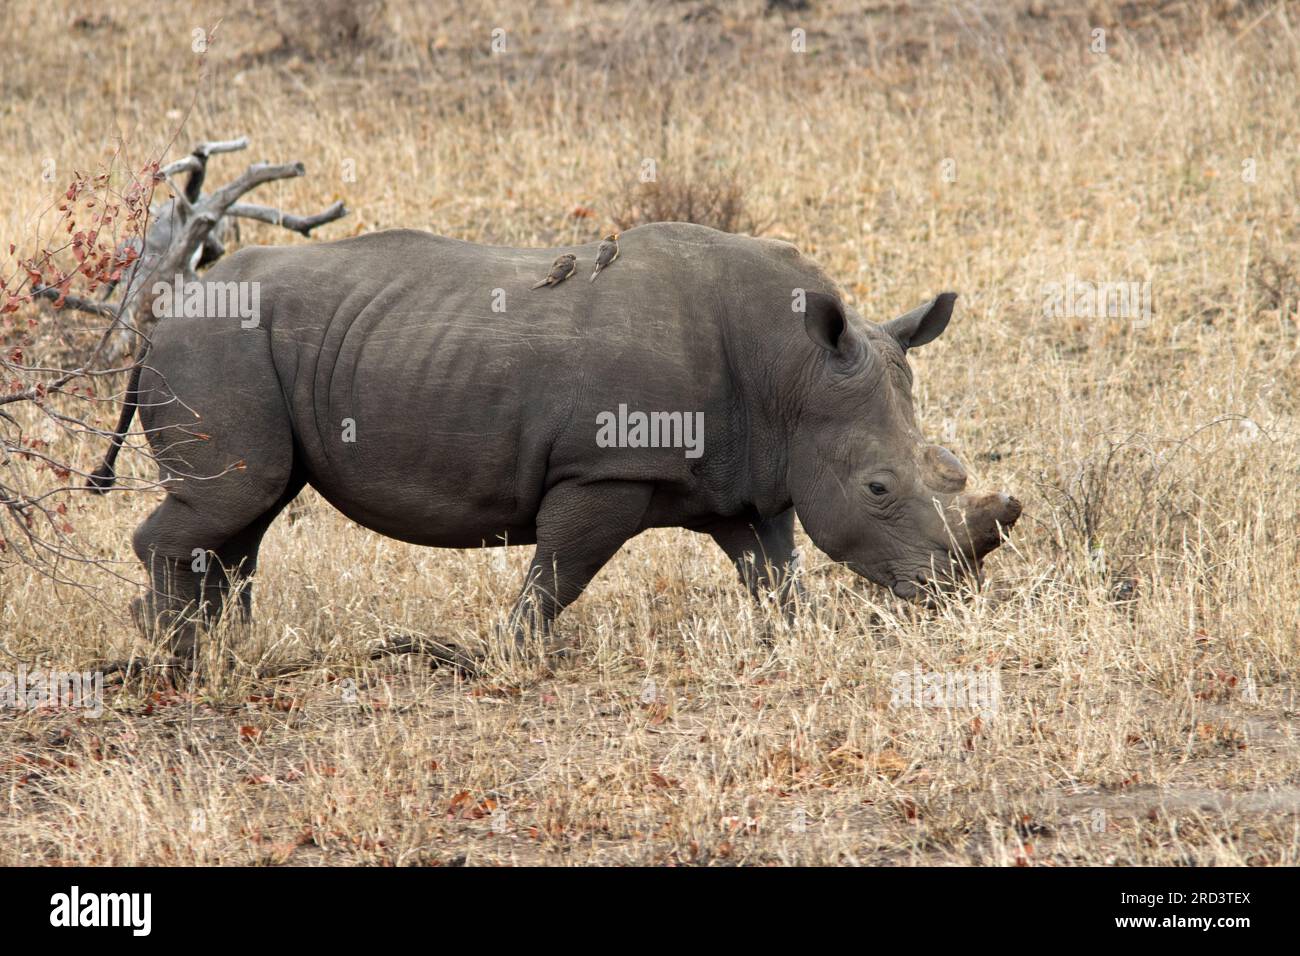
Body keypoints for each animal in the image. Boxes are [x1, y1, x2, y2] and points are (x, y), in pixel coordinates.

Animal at [92, 222, 1020, 663]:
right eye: (879, 490)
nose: (952, 592)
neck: (791, 372)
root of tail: (160, 318)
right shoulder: (604, 468)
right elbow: (560, 568)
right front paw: (509, 653)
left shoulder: (749, 475)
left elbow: (772, 567)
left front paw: (791, 635)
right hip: (217, 349)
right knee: (234, 497)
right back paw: (176, 651)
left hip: (236, 351)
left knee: (250, 506)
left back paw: (225, 643)